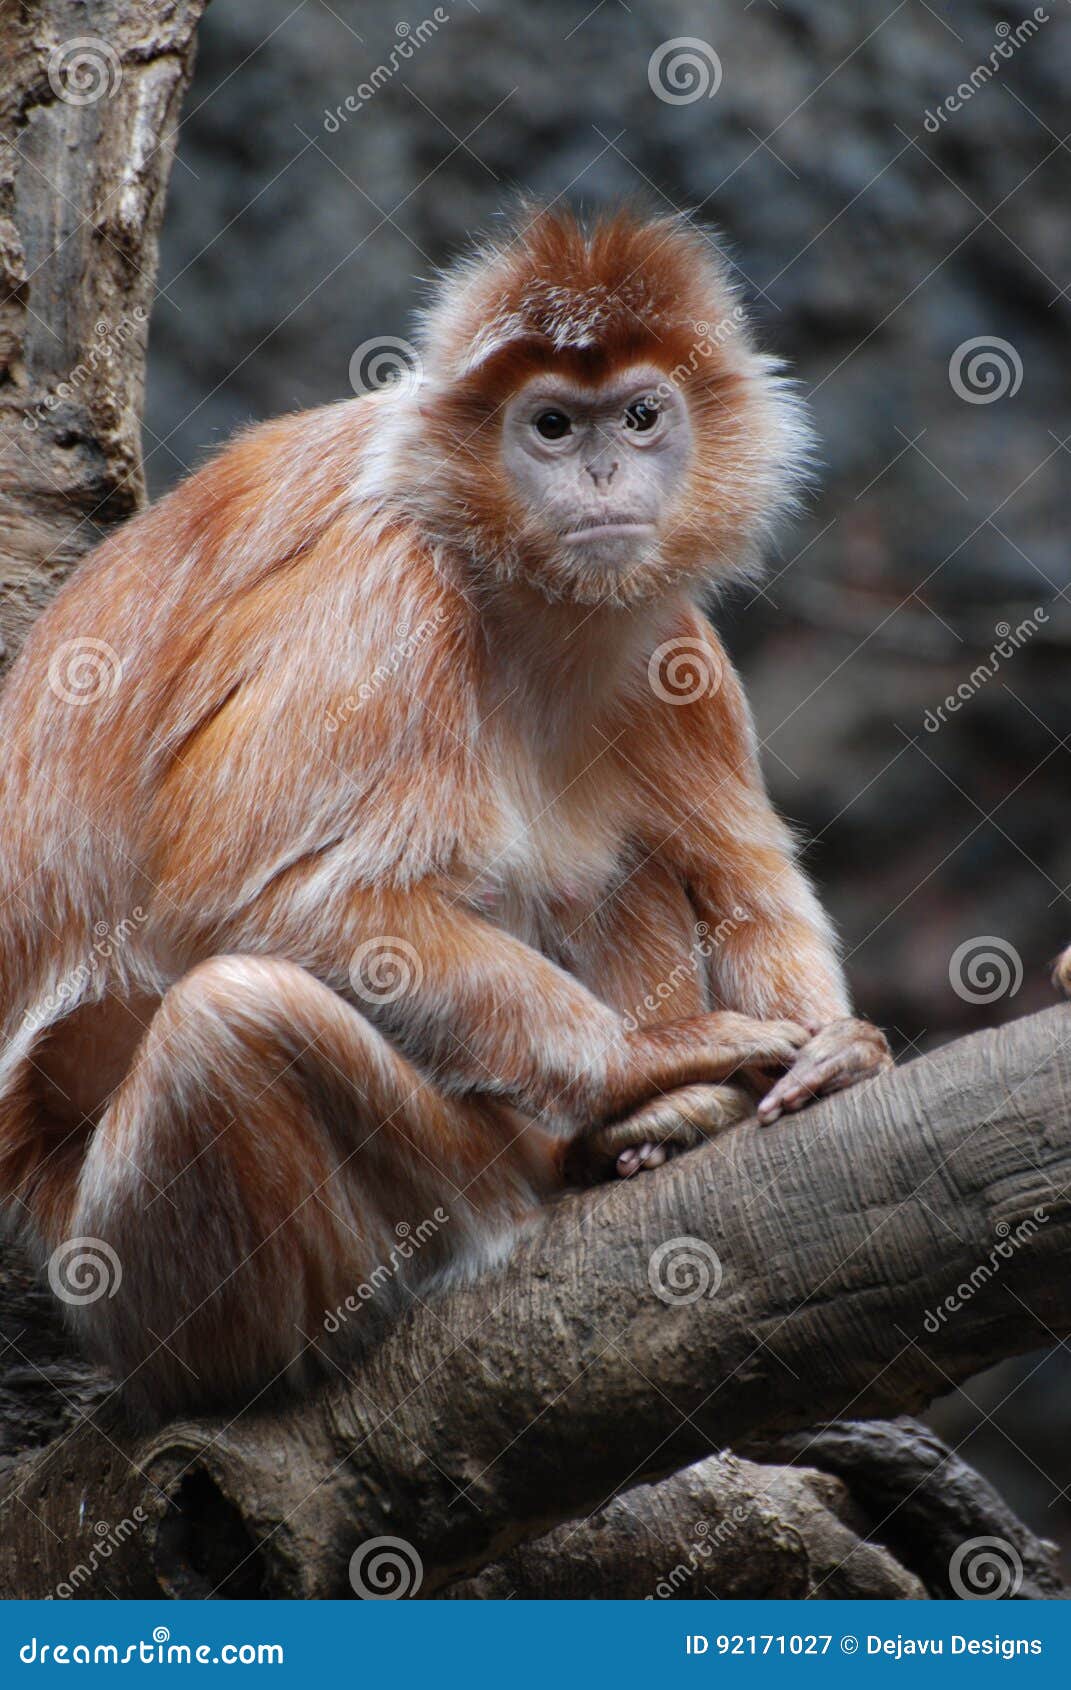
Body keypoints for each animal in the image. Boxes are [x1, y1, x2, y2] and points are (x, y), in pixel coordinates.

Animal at [0, 206, 890, 1421]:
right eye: (551, 425)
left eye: (641, 416)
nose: (603, 470)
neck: (516, 592)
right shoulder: (386, 592)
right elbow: (251, 899)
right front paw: (642, 1064)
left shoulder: (672, 645)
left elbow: (743, 881)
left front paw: (840, 1049)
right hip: (149, 1287)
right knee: (227, 1018)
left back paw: (630, 1151)